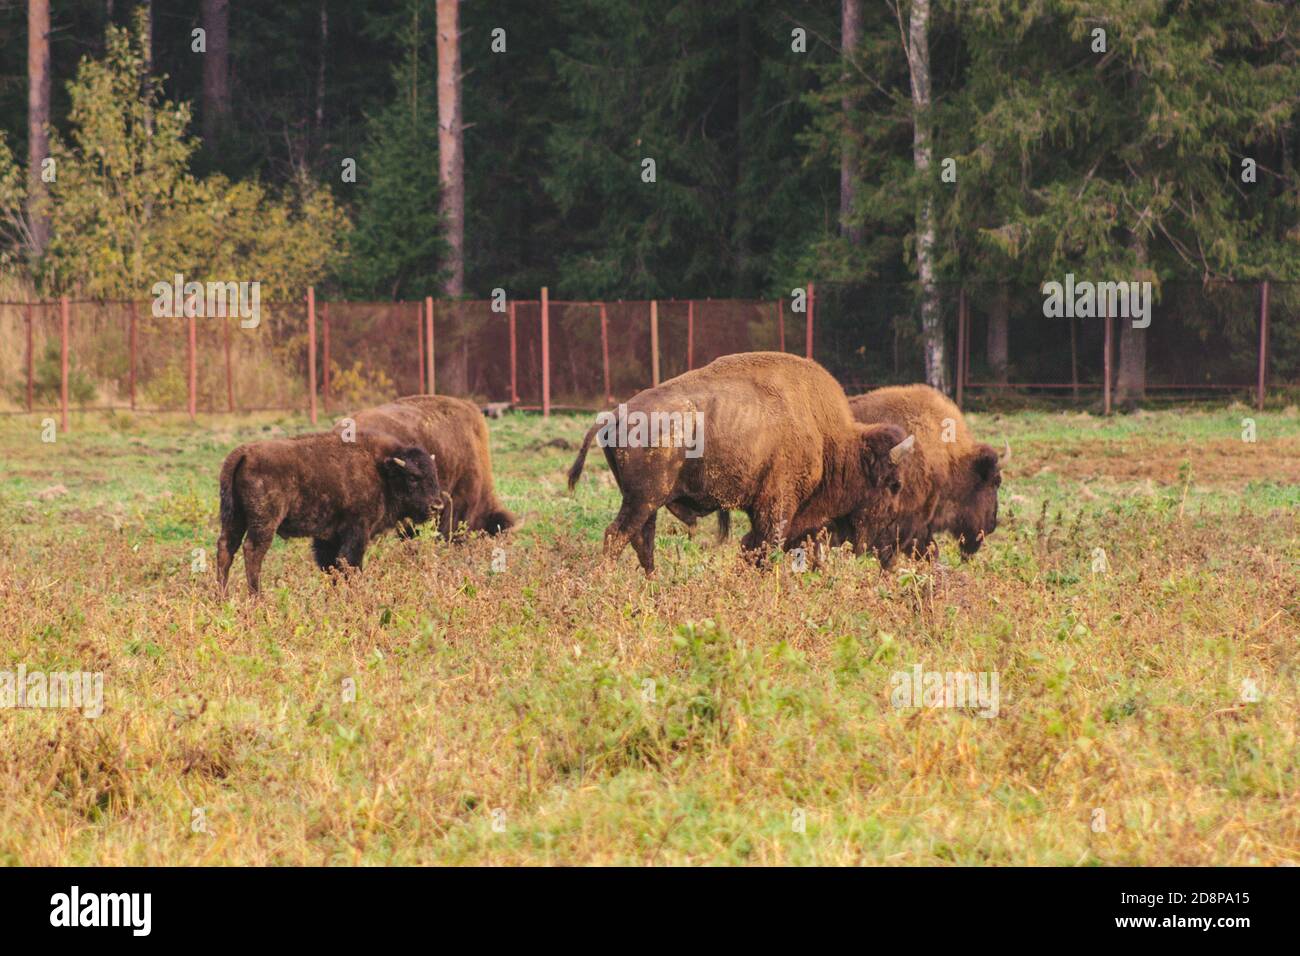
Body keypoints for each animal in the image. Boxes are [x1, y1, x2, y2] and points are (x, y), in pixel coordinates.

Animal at [216, 430, 442, 594]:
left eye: (434, 475)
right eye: (413, 477)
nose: (437, 506)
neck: (381, 470)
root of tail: (244, 453)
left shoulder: (329, 537)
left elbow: (330, 565)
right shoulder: (357, 530)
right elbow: (349, 563)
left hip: (234, 518)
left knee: (226, 548)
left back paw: (221, 597)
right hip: (264, 523)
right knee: (252, 551)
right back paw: (256, 597)